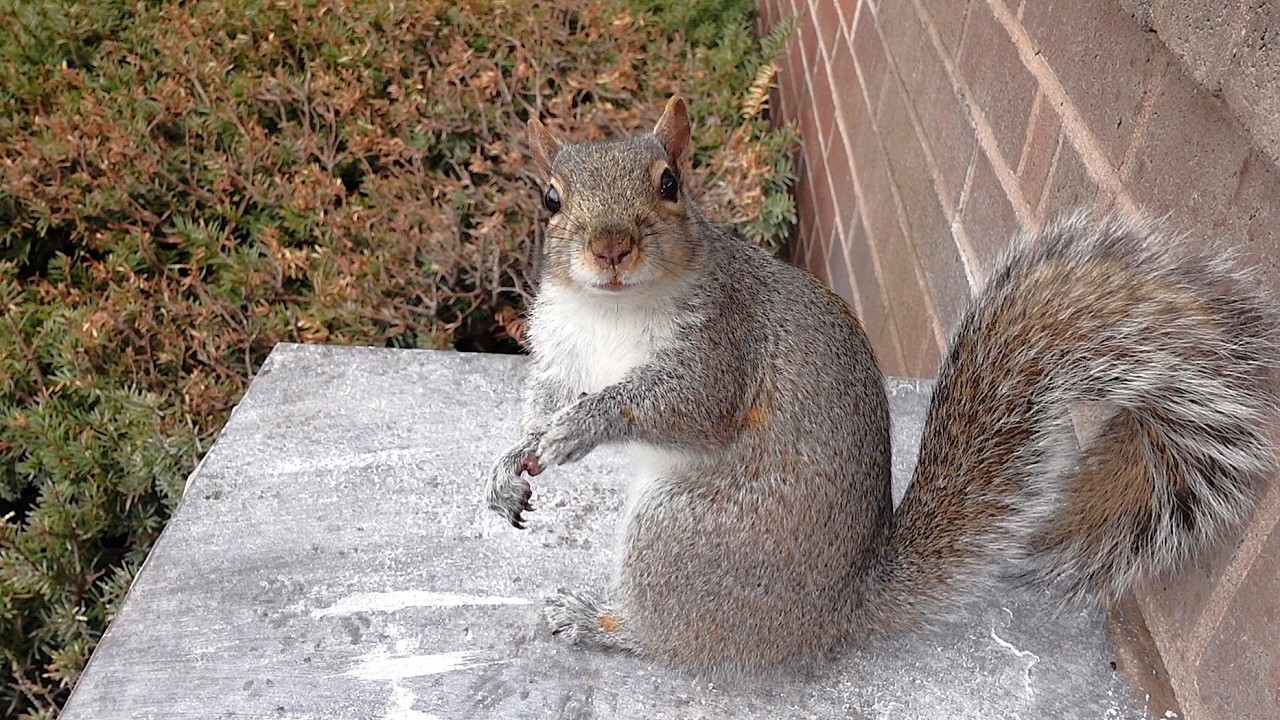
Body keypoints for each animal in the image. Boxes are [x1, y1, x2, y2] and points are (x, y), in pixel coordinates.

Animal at [483, 96, 1280, 675]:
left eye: (670, 183)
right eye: (550, 199)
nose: (610, 247)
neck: (612, 311)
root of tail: (835, 613)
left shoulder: (724, 346)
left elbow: (682, 407)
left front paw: (583, 427)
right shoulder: (561, 350)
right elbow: (541, 399)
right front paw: (510, 466)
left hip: (682, 535)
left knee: (676, 639)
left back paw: (600, 623)